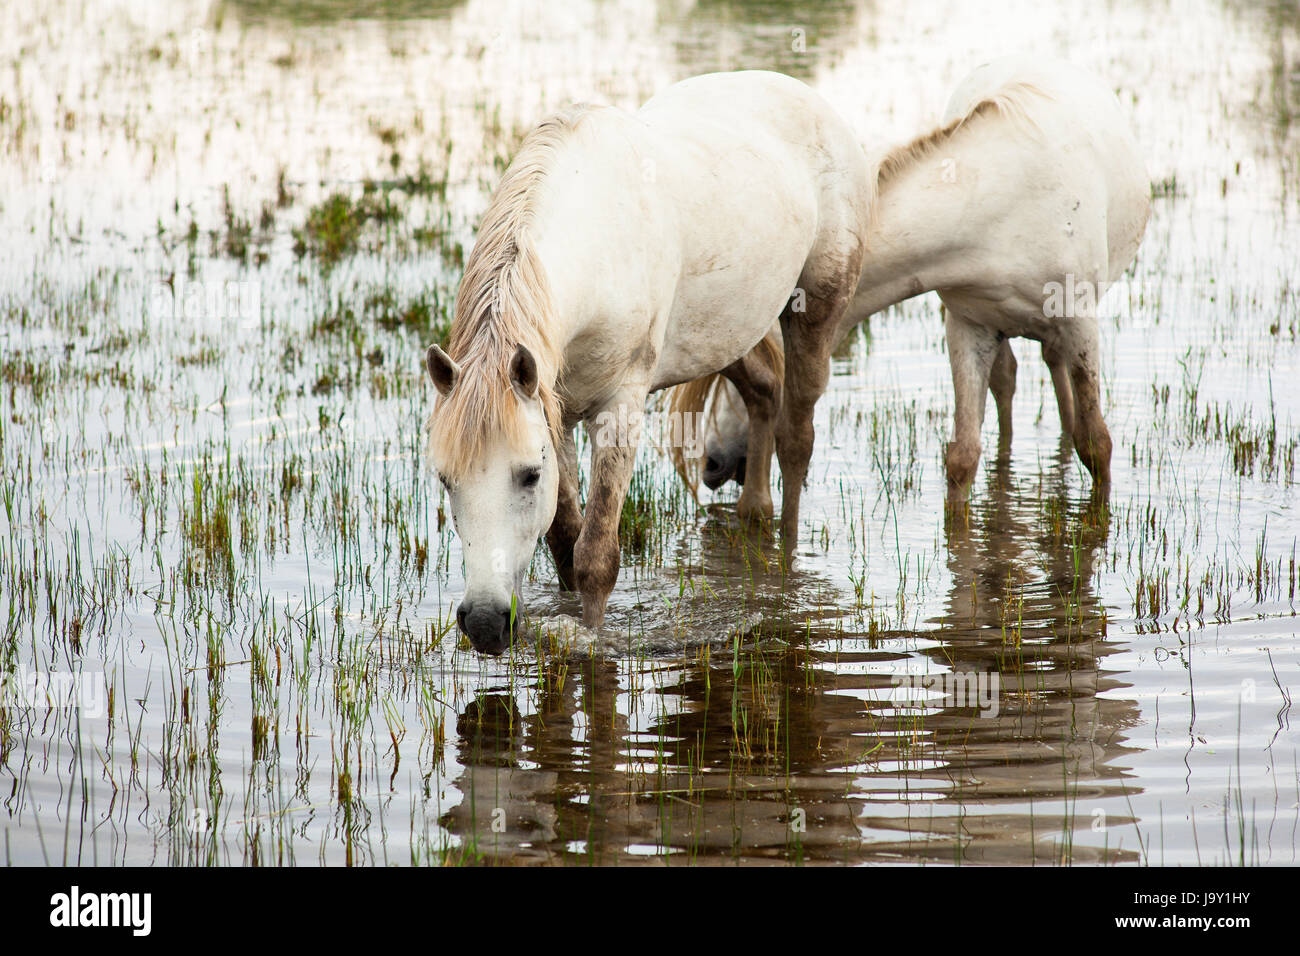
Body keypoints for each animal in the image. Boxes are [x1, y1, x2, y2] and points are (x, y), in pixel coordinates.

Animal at [423, 71, 871, 653]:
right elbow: (565, 541)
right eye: (445, 480)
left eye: (527, 476)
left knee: (797, 439)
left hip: (815, 310)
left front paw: (594, 641)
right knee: (762, 393)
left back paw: (787, 566)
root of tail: (807, 97)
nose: (483, 622)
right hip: (724, 332)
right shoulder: (555, 410)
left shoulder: (619, 409)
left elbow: (596, 556)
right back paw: (755, 516)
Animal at [671, 56, 1150, 502]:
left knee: (1056, 373)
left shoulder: (1080, 323)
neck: (1002, 205)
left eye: (768, 356)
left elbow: (1097, 444)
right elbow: (963, 457)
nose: (712, 464)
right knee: (1012, 378)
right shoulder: (969, 326)